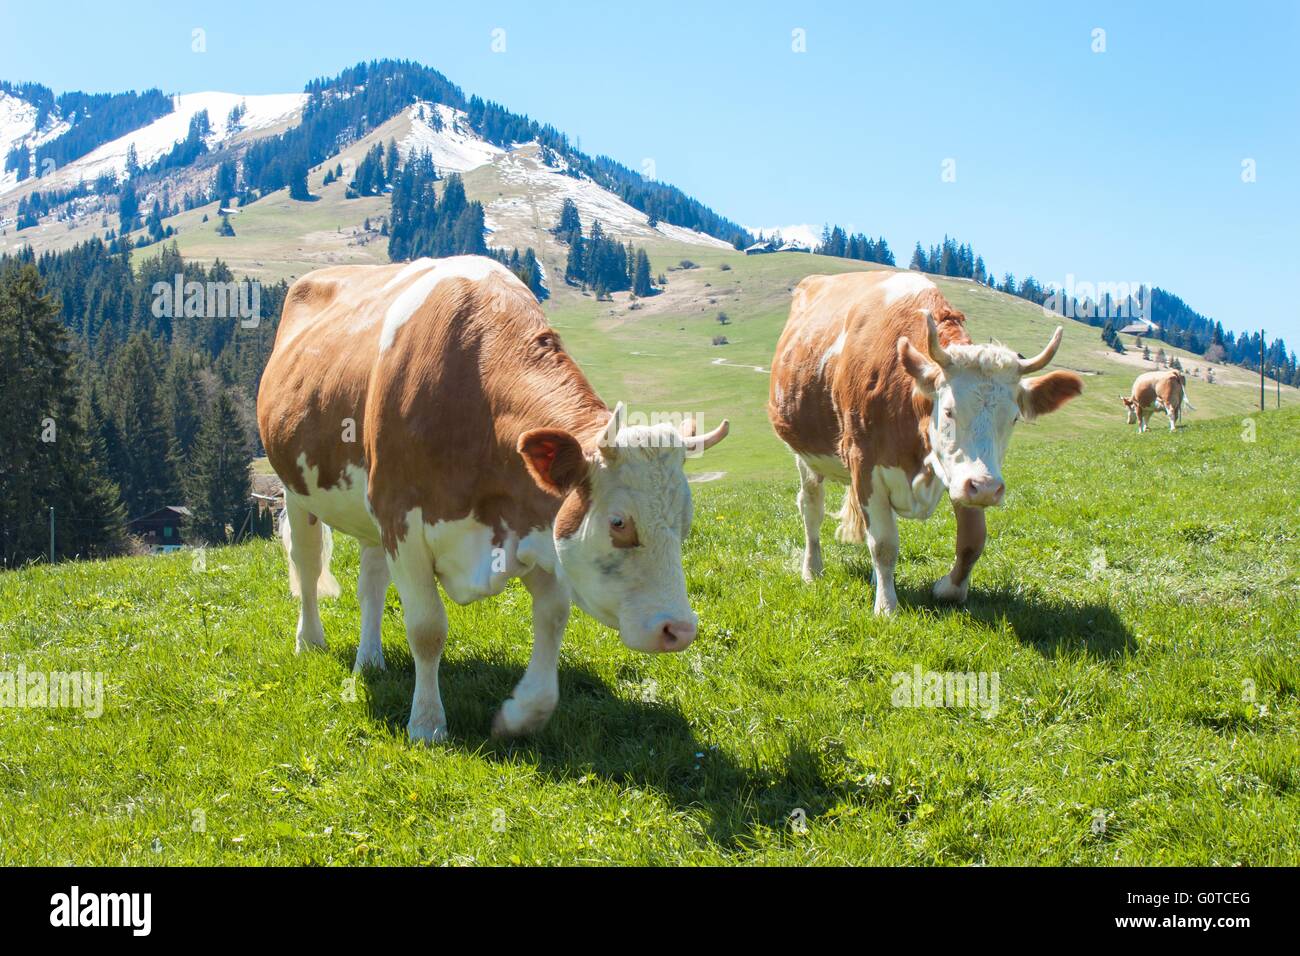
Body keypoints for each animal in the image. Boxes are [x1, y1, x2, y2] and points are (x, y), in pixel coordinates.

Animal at [257, 256, 729, 743]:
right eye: (618, 522)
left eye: (686, 522)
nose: (679, 629)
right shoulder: (401, 520)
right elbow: (427, 627)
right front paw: (427, 724)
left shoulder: (536, 526)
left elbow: (553, 617)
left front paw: (521, 715)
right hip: (297, 491)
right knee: (307, 565)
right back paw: (310, 641)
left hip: (371, 519)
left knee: (370, 583)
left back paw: (369, 659)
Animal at [767, 271, 1083, 615]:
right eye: (948, 411)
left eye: (1013, 418)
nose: (988, 488)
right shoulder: (864, 464)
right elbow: (884, 543)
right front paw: (886, 607)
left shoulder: (961, 474)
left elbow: (972, 540)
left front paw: (948, 589)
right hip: (805, 455)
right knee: (811, 507)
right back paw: (812, 569)